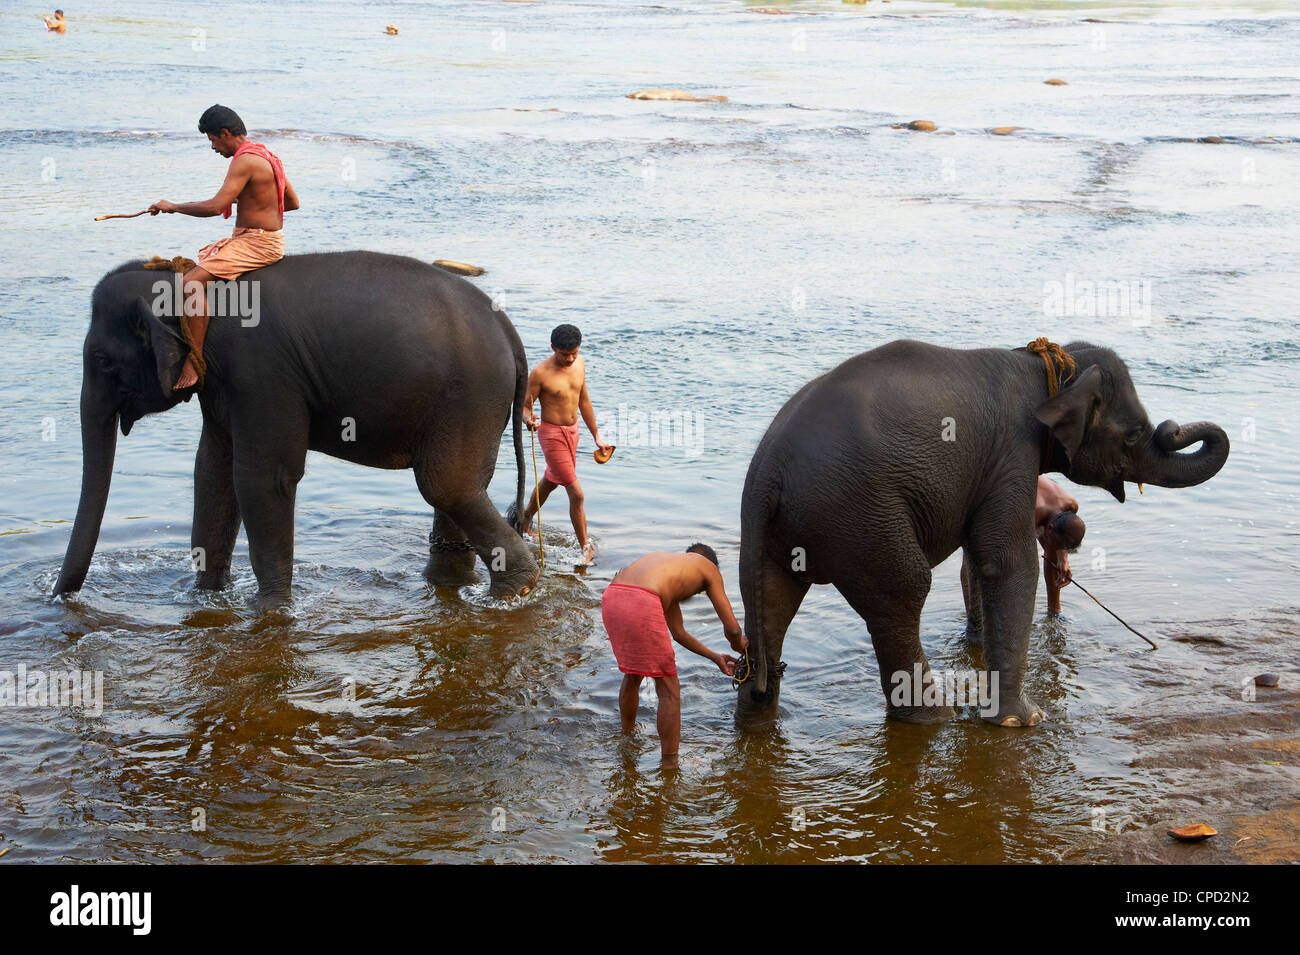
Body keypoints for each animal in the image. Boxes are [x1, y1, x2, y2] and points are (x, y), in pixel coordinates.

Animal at [52, 252, 540, 608]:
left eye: (101, 360)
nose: (62, 598)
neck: (195, 285)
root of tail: (511, 335)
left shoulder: (261, 372)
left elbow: (262, 480)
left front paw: (270, 610)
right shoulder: (222, 384)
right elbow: (211, 472)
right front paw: (206, 598)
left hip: (470, 396)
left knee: (446, 485)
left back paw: (515, 592)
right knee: (459, 489)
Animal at [736, 339, 1229, 728]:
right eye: (1132, 434)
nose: (1172, 428)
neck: (1044, 366)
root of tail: (768, 470)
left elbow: (980, 560)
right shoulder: (1013, 450)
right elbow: (1008, 563)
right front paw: (1023, 721)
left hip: (778, 529)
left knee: (772, 604)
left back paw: (759, 717)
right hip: (859, 514)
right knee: (904, 591)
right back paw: (936, 717)